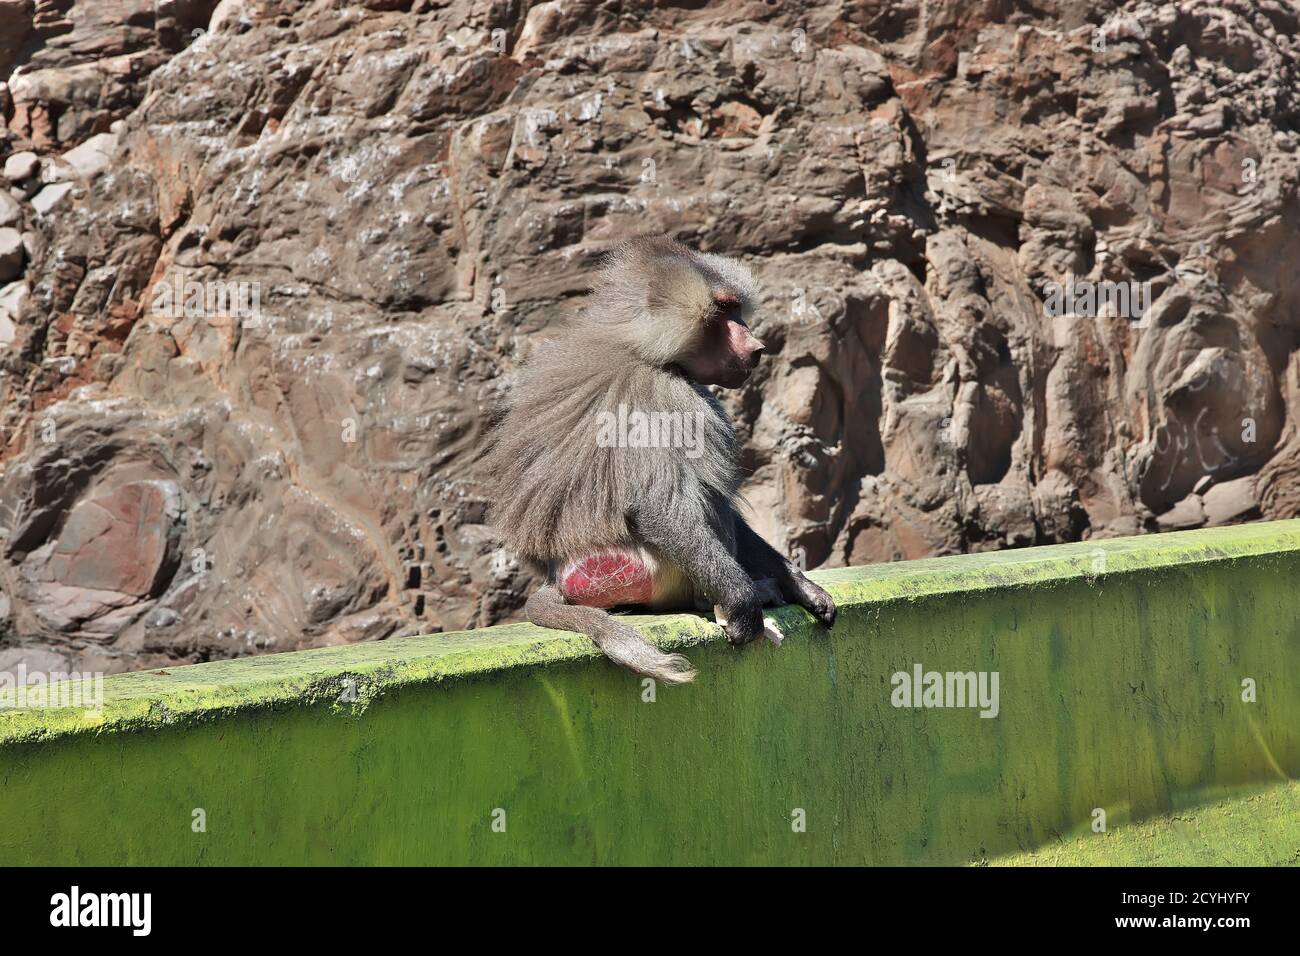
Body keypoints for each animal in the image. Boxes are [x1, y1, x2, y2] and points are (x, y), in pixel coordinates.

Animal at [483, 235, 836, 683]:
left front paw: (803, 587)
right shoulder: (668, 396)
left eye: (737, 309)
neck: (638, 343)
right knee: (700, 495)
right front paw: (742, 606)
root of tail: (559, 575)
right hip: (644, 570)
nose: (757, 348)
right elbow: (656, 506)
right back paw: (734, 597)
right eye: (723, 311)